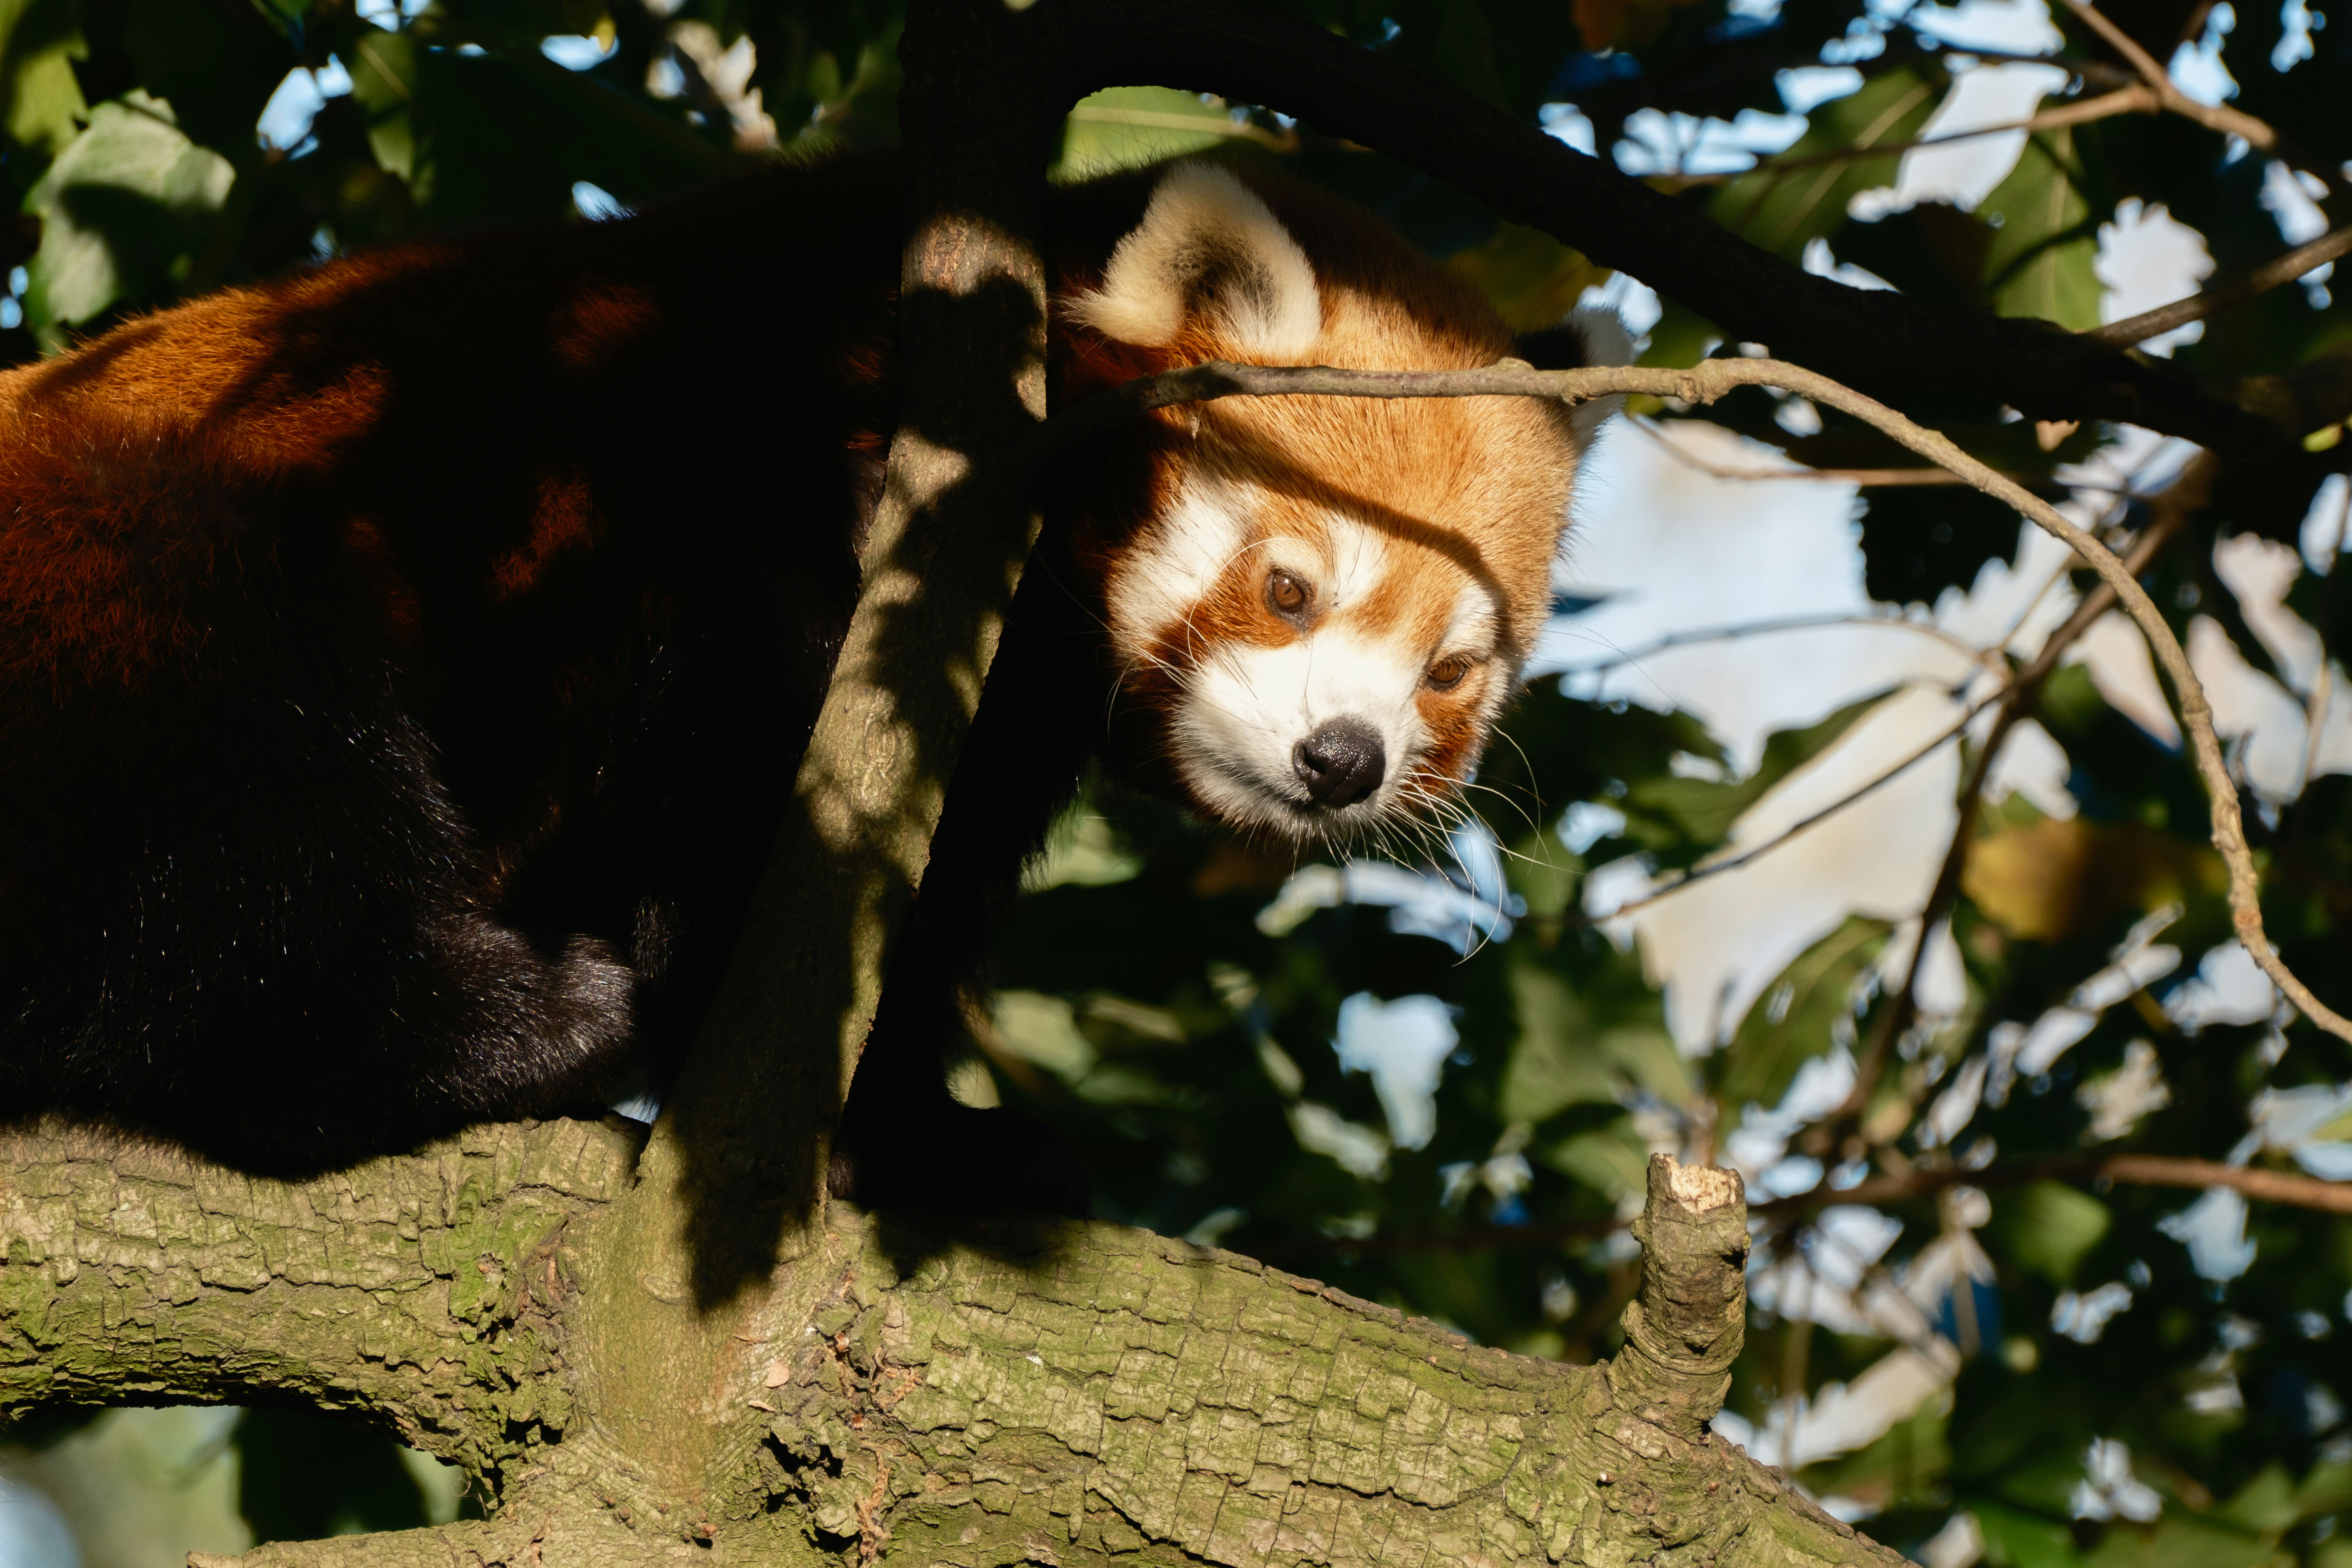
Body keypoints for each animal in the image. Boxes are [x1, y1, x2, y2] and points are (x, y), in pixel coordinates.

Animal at [0, 152, 1624, 1209]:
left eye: (1448, 672)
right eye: (1289, 587)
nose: (1340, 757)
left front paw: (915, 1127)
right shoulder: (756, 467)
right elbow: (751, 775)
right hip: (130, 575)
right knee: (245, 814)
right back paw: (487, 1029)